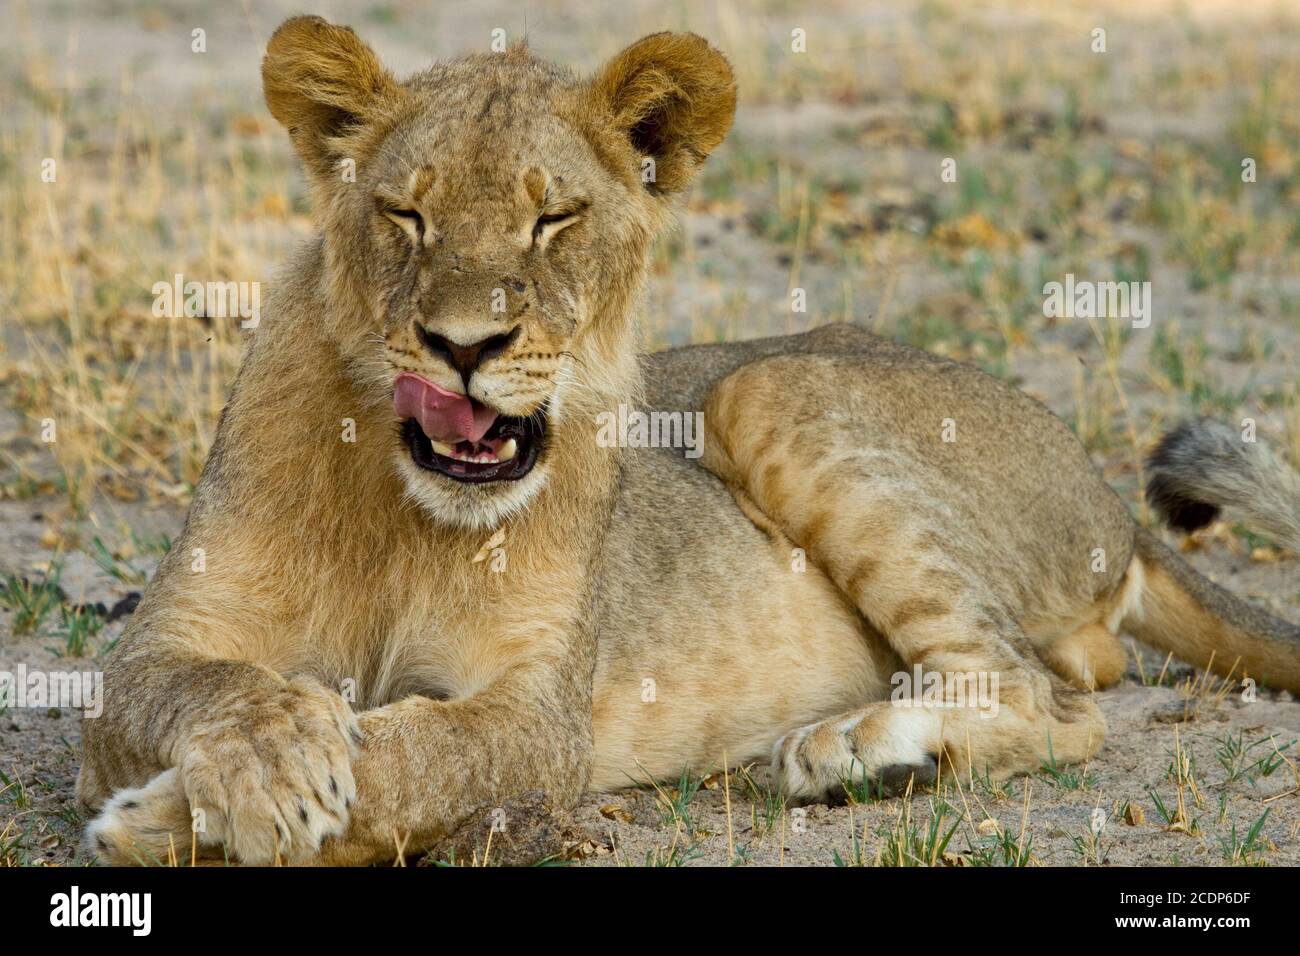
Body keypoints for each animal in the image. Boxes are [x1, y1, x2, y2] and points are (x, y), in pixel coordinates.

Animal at [78, 16, 1300, 865]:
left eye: (553, 219)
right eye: (406, 214)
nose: (464, 345)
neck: (400, 501)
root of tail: (1112, 508)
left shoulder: (538, 712)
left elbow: (417, 756)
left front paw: (174, 819)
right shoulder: (165, 640)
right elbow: (213, 690)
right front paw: (273, 765)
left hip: (764, 388)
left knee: (1053, 698)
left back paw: (851, 751)